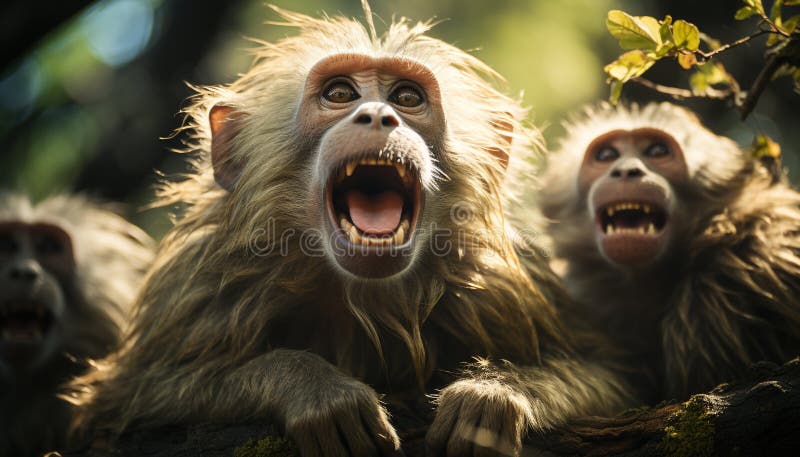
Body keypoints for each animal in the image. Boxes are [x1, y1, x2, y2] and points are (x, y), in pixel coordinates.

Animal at [68, 7, 631, 457]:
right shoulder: (202, 279)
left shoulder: (504, 283)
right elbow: (119, 404)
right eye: (340, 93)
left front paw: (498, 393)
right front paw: (311, 387)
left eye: (406, 97)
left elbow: (612, 374)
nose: (378, 114)